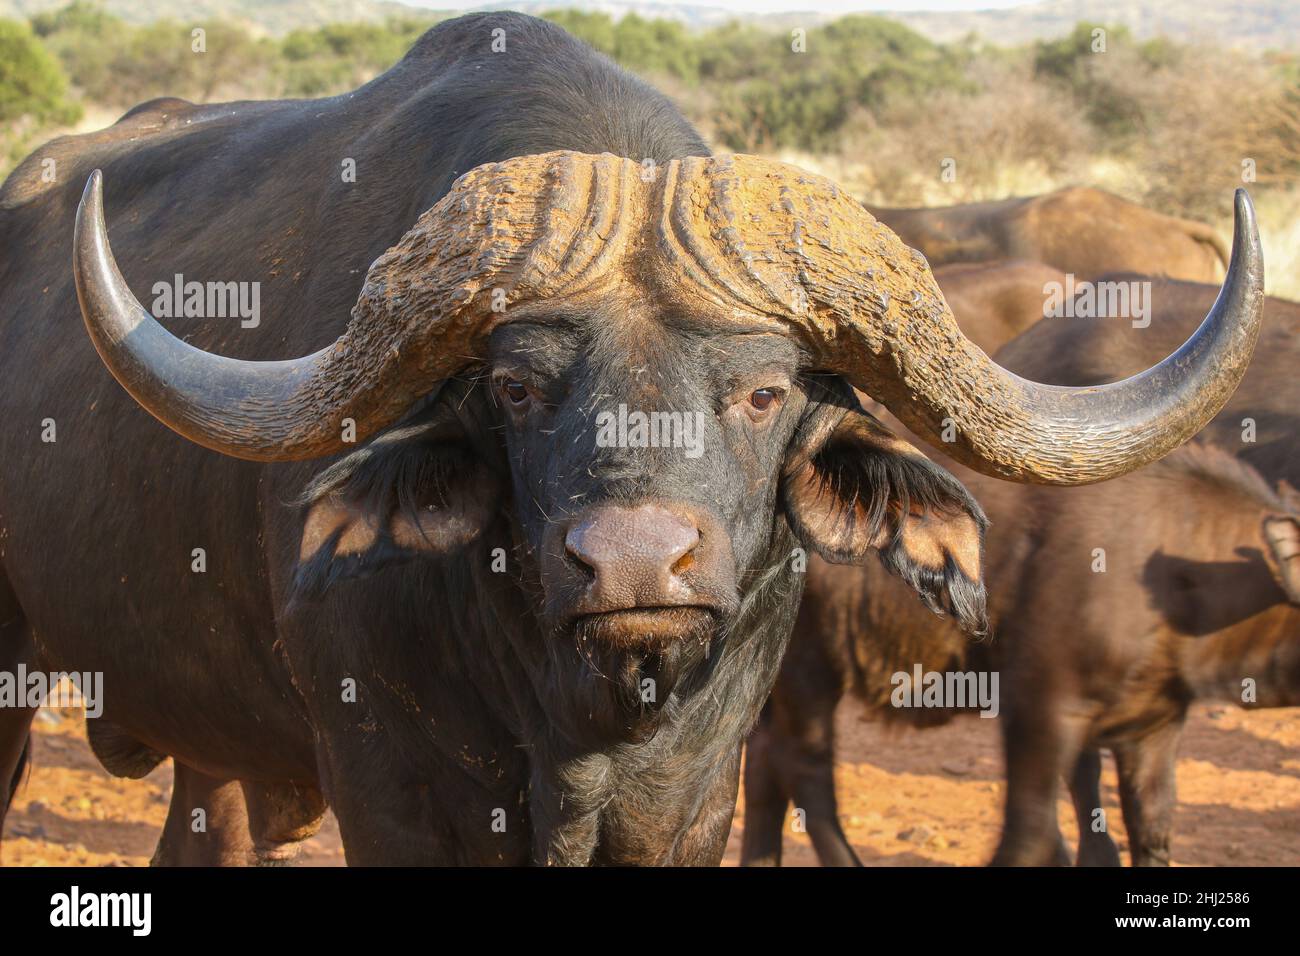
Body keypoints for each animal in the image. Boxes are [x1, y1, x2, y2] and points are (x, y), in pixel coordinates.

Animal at [741, 281, 1298, 867]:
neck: (1168, 576)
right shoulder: (1040, 710)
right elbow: (1031, 833)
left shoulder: (1153, 727)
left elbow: (1150, 828)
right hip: (807, 670)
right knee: (804, 766)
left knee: (764, 765)